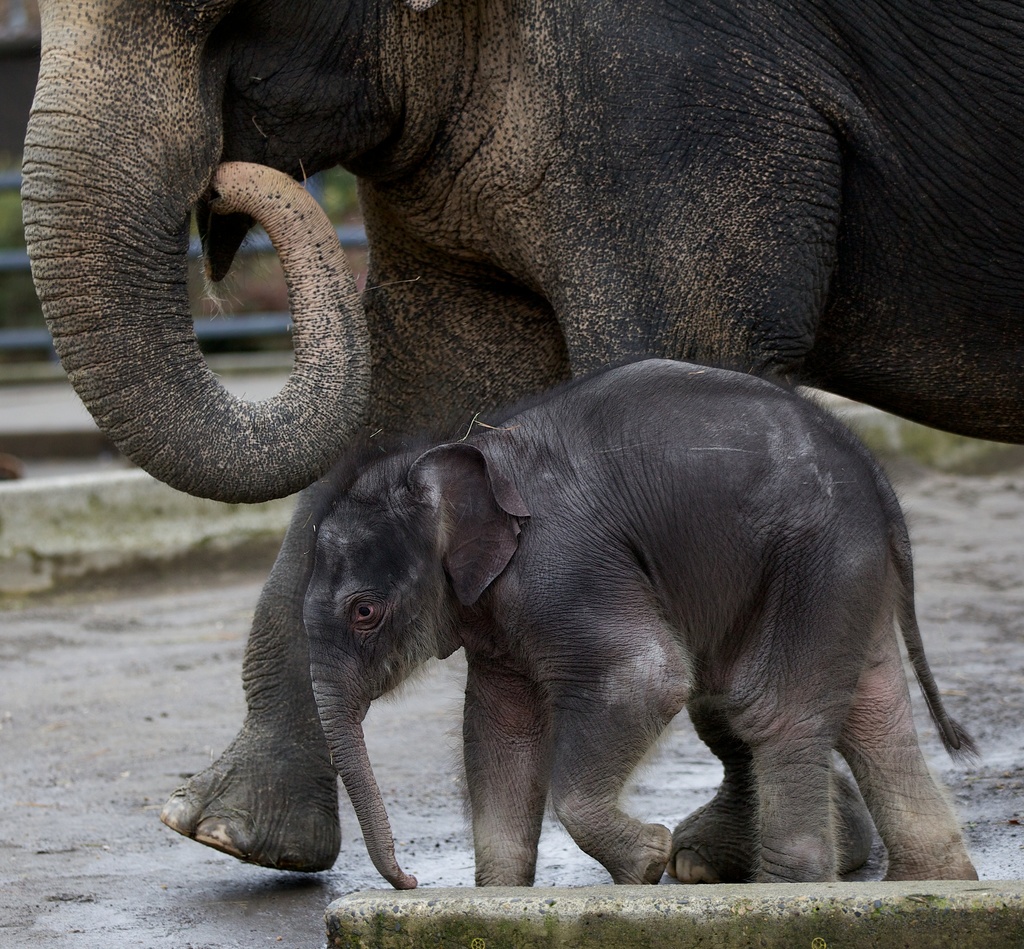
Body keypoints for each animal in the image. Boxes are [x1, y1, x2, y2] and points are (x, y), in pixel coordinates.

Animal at [304, 358, 978, 889]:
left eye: (364, 612)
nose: (410, 882)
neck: (463, 453)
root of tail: (878, 478)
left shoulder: (563, 568)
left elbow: (644, 678)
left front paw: (649, 861)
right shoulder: (495, 614)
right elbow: (499, 731)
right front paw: (499, 898)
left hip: (816, 556)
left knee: (771, 710)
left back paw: (786, 890)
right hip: (847, 572)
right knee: (874, 713)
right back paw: (933, 881)